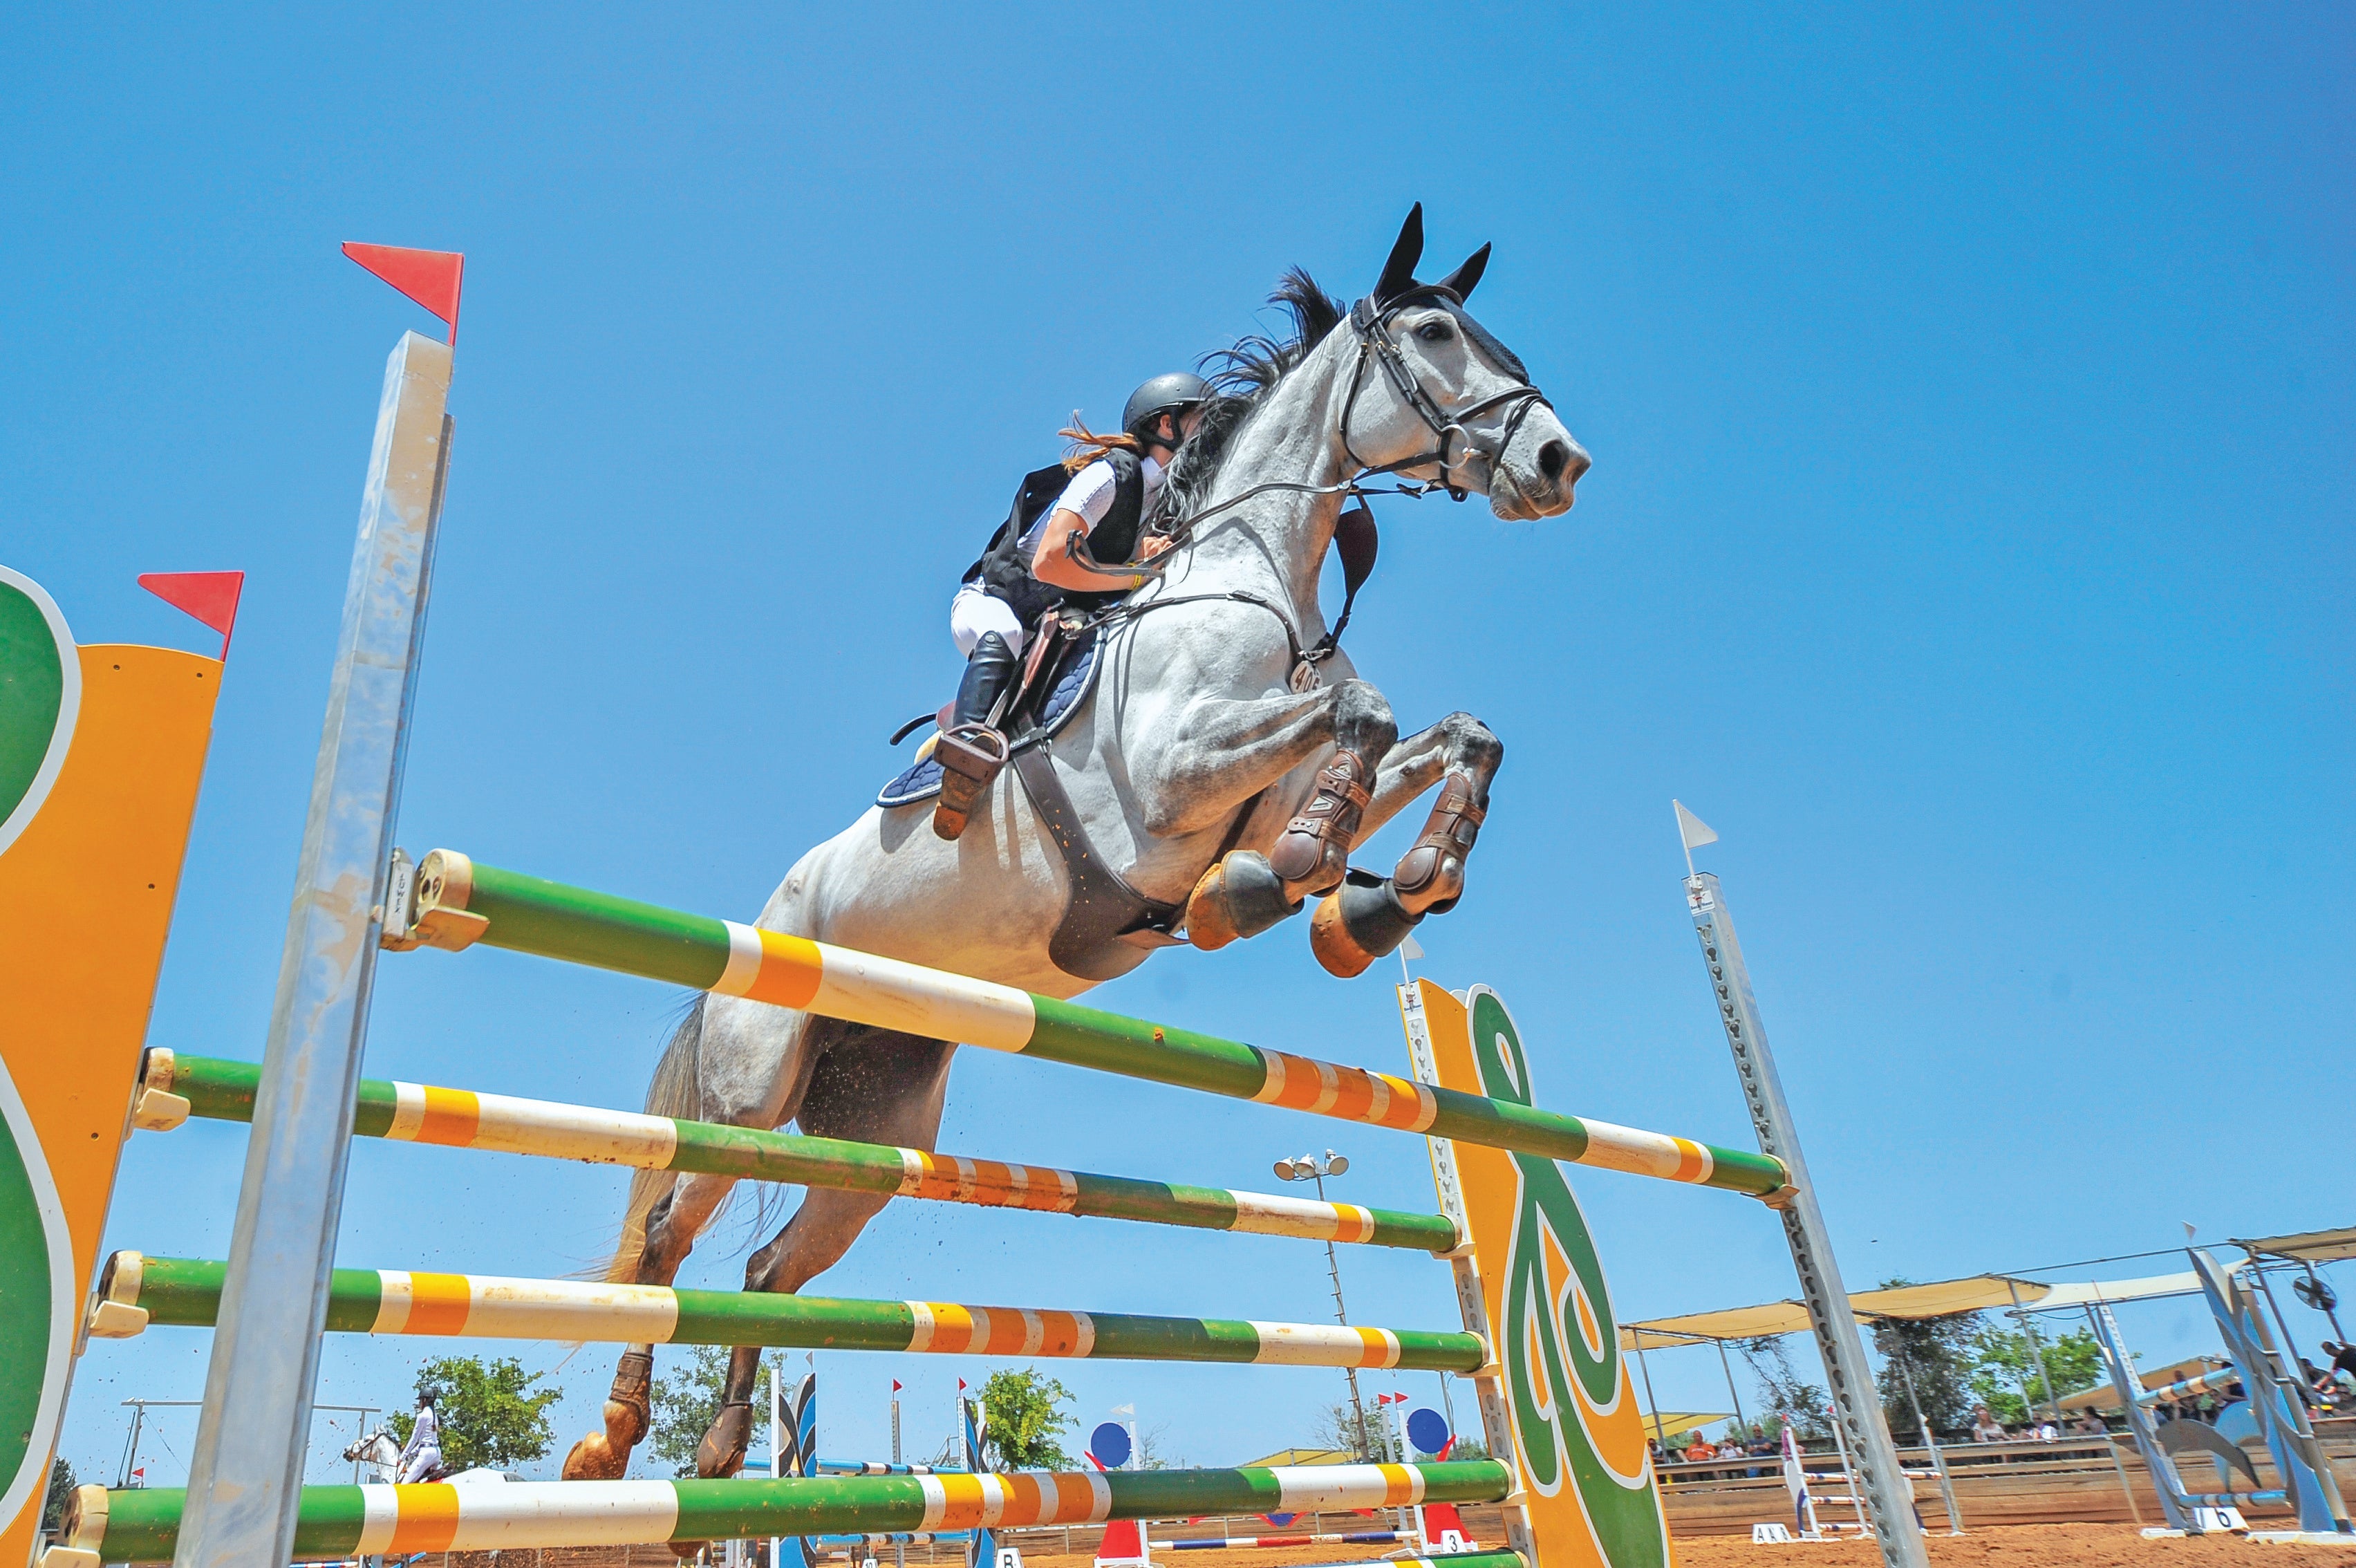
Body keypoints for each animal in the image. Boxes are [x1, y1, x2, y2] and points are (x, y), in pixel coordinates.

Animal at [561, 206, 1589, 1483]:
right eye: (1439, 334)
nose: (1559, 464)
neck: (1255, 573)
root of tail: (756, 932)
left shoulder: (1277, 768)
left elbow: (1448, 733)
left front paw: (1378, 897)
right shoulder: (1164, 783)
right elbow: (1365, 713)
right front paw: (1282, 885)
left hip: (873, 1127)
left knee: (766, 1268)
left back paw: (719, 1442)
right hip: (750, 1091)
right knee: (666, 1235)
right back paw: (610, 1443)